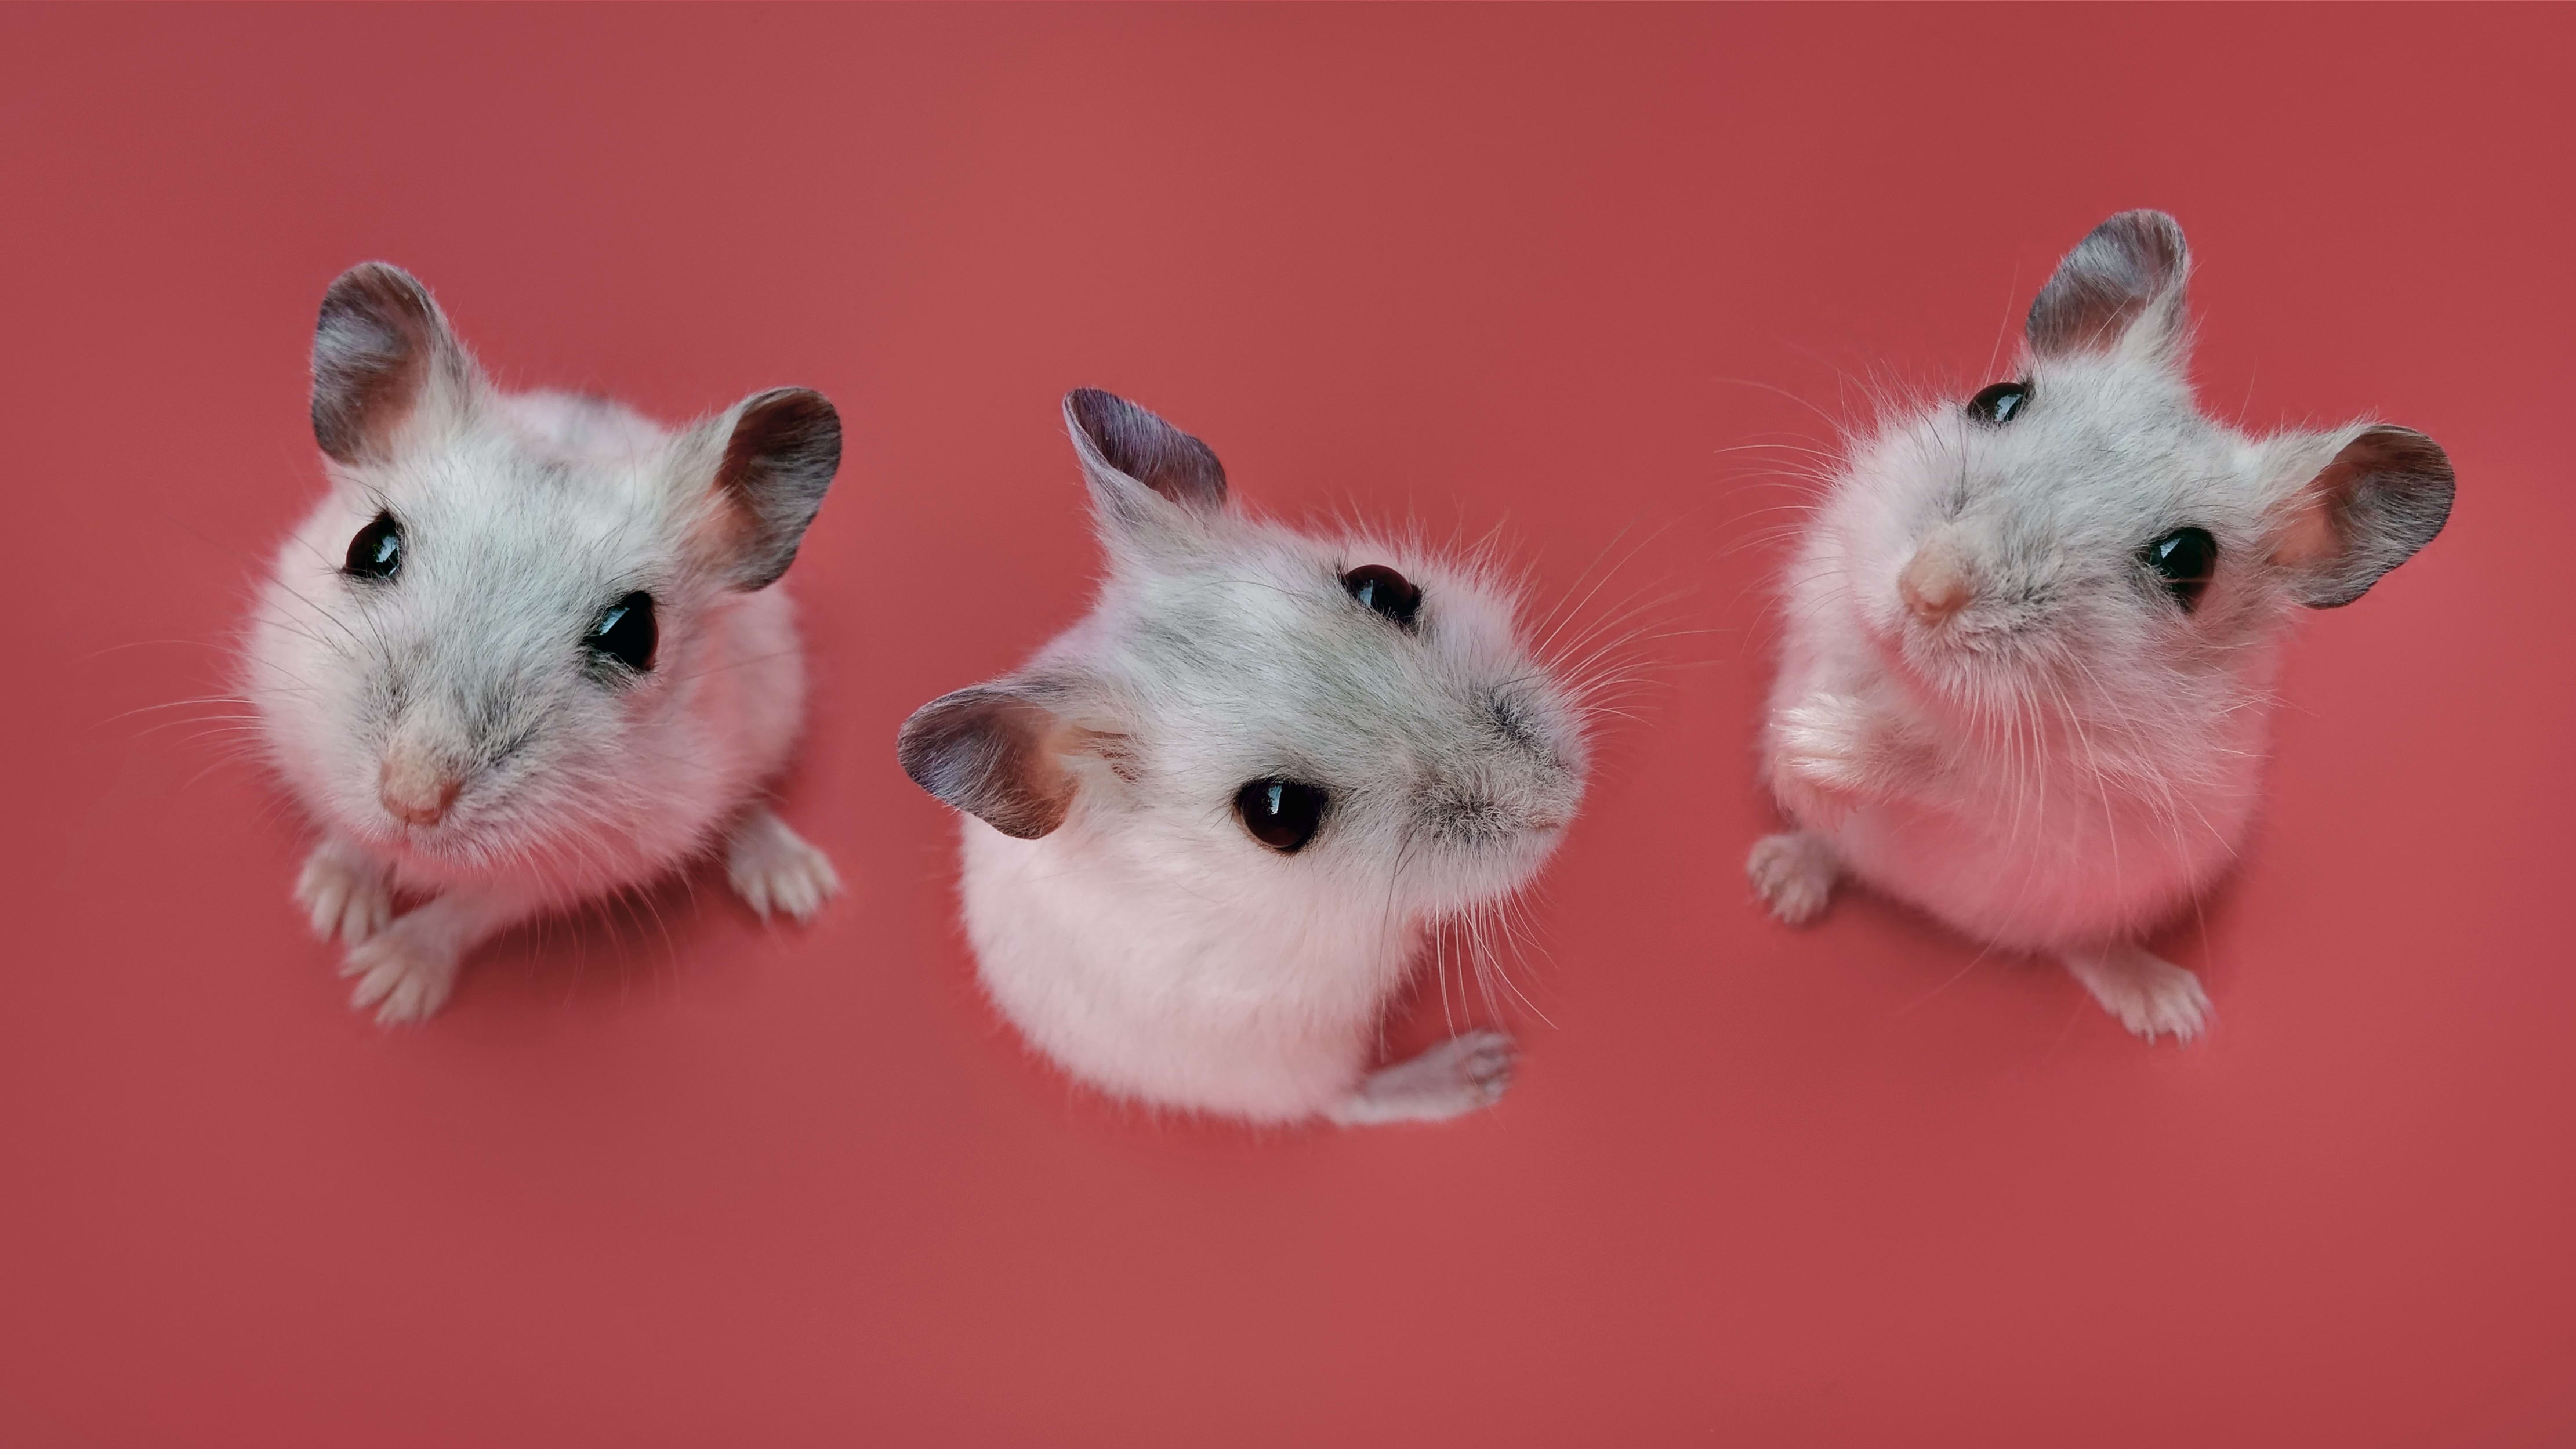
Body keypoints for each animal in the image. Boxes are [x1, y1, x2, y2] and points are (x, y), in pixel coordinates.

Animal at [247, 263, 845, 1024]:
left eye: (636, 633)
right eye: (369, 545)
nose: (411, 800)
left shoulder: (565, 872)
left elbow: (462, 912)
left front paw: (383, 984)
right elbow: (348, 835)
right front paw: (331, 906)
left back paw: (797, 886)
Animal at [897, 390, 1590, 1125]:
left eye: (1382, 585)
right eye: (1276, 815)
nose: (1568, 792)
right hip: (1285, 1060)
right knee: (1342, 1101)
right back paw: (1482, 1066)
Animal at [1747, 210, 2454, 1042]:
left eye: (2186, 561)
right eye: (1996, 400)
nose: (1923, 591)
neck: (1920, 686)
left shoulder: (2076, 806)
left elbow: (1951, 769)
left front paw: (1823, 744)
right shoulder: (1825, 583)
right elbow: (1834, 656)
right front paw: (1796, 750)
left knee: (2082, 946)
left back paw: (2170, 1007)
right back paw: (1780, 879)